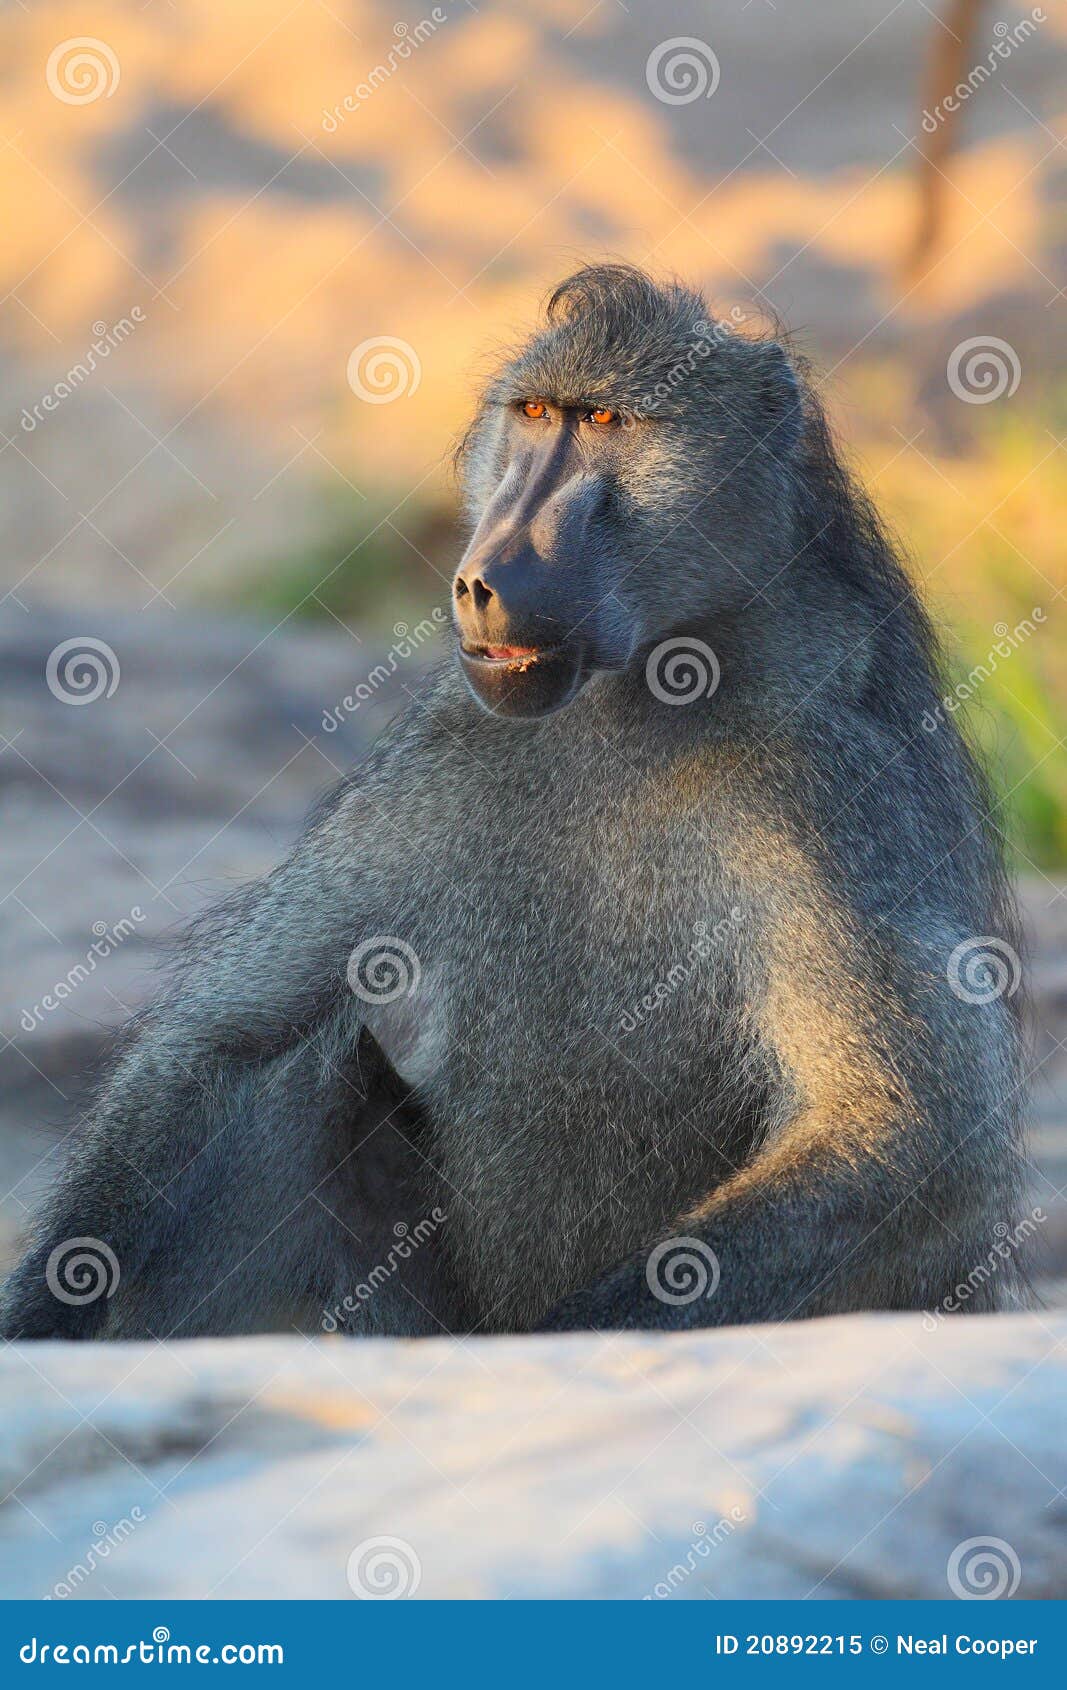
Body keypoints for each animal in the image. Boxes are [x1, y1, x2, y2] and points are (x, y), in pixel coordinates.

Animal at [0, 264, 1026, 1343]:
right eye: (533, 415)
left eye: (605, 421)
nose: (481, 579)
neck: (647, 695)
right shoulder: (439, 757)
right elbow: (221, 1041)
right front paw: (40, 1316)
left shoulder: (833, 788)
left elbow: (907, 1137)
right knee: (296, 1080)